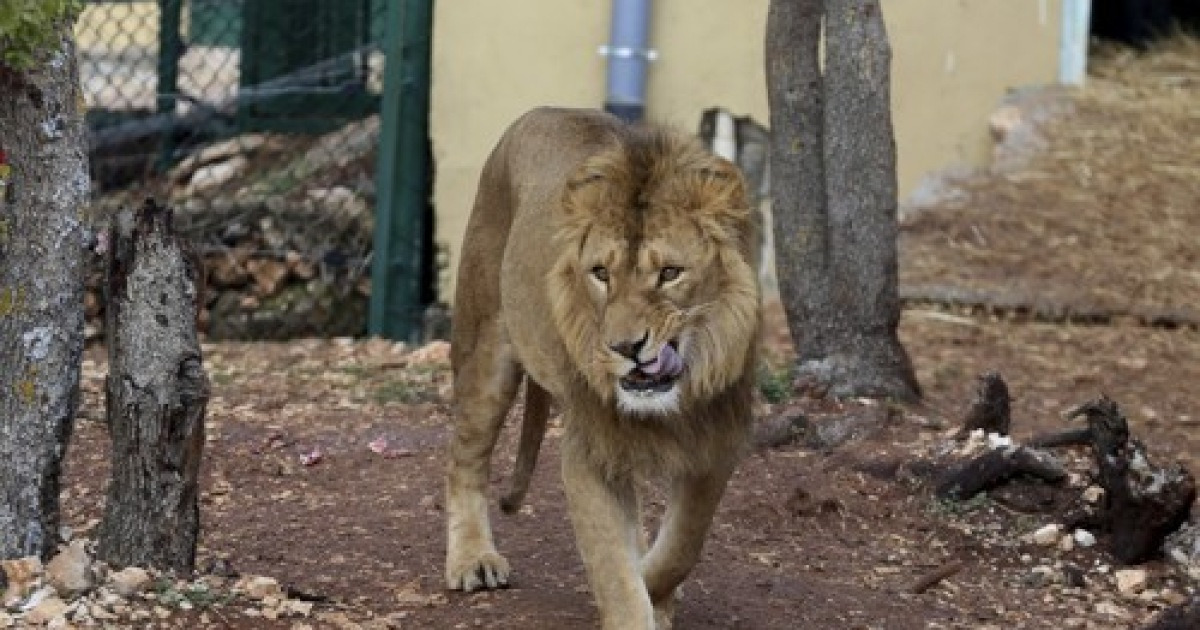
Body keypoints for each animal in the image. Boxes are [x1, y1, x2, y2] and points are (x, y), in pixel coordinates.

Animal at [444, 107, 761, 629]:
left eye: (670, 273)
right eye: (600, 274)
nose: (624, 347)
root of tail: (536, 113)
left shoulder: (718, 441)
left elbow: (681, 546)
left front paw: (658, 593)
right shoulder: (590, 449)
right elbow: (614, 568)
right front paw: (635, 602)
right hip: (484, 347)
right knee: (465, 460)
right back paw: (472, 559)